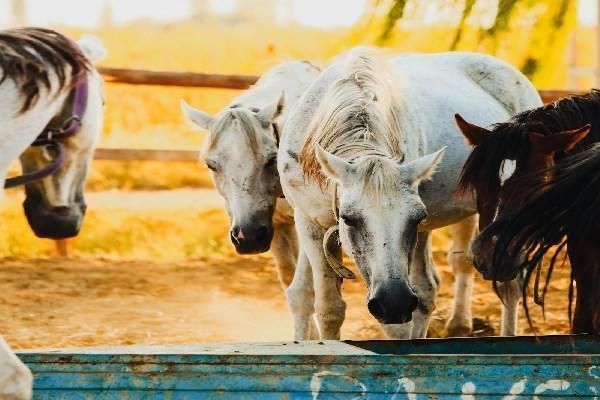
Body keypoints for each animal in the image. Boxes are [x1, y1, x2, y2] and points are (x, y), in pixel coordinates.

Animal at [182, 61, 322, 334]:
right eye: (211, 165)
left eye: (270, 159)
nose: (248, 238)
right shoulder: (277, 227)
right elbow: (291, 284)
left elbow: (302, 293)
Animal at [278, 47, 540, 340]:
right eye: (349, 218)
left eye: (416, 218)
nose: (393, 303)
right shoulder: (308, 223)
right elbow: (326, 307)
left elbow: (399, 326)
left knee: (508, 286)